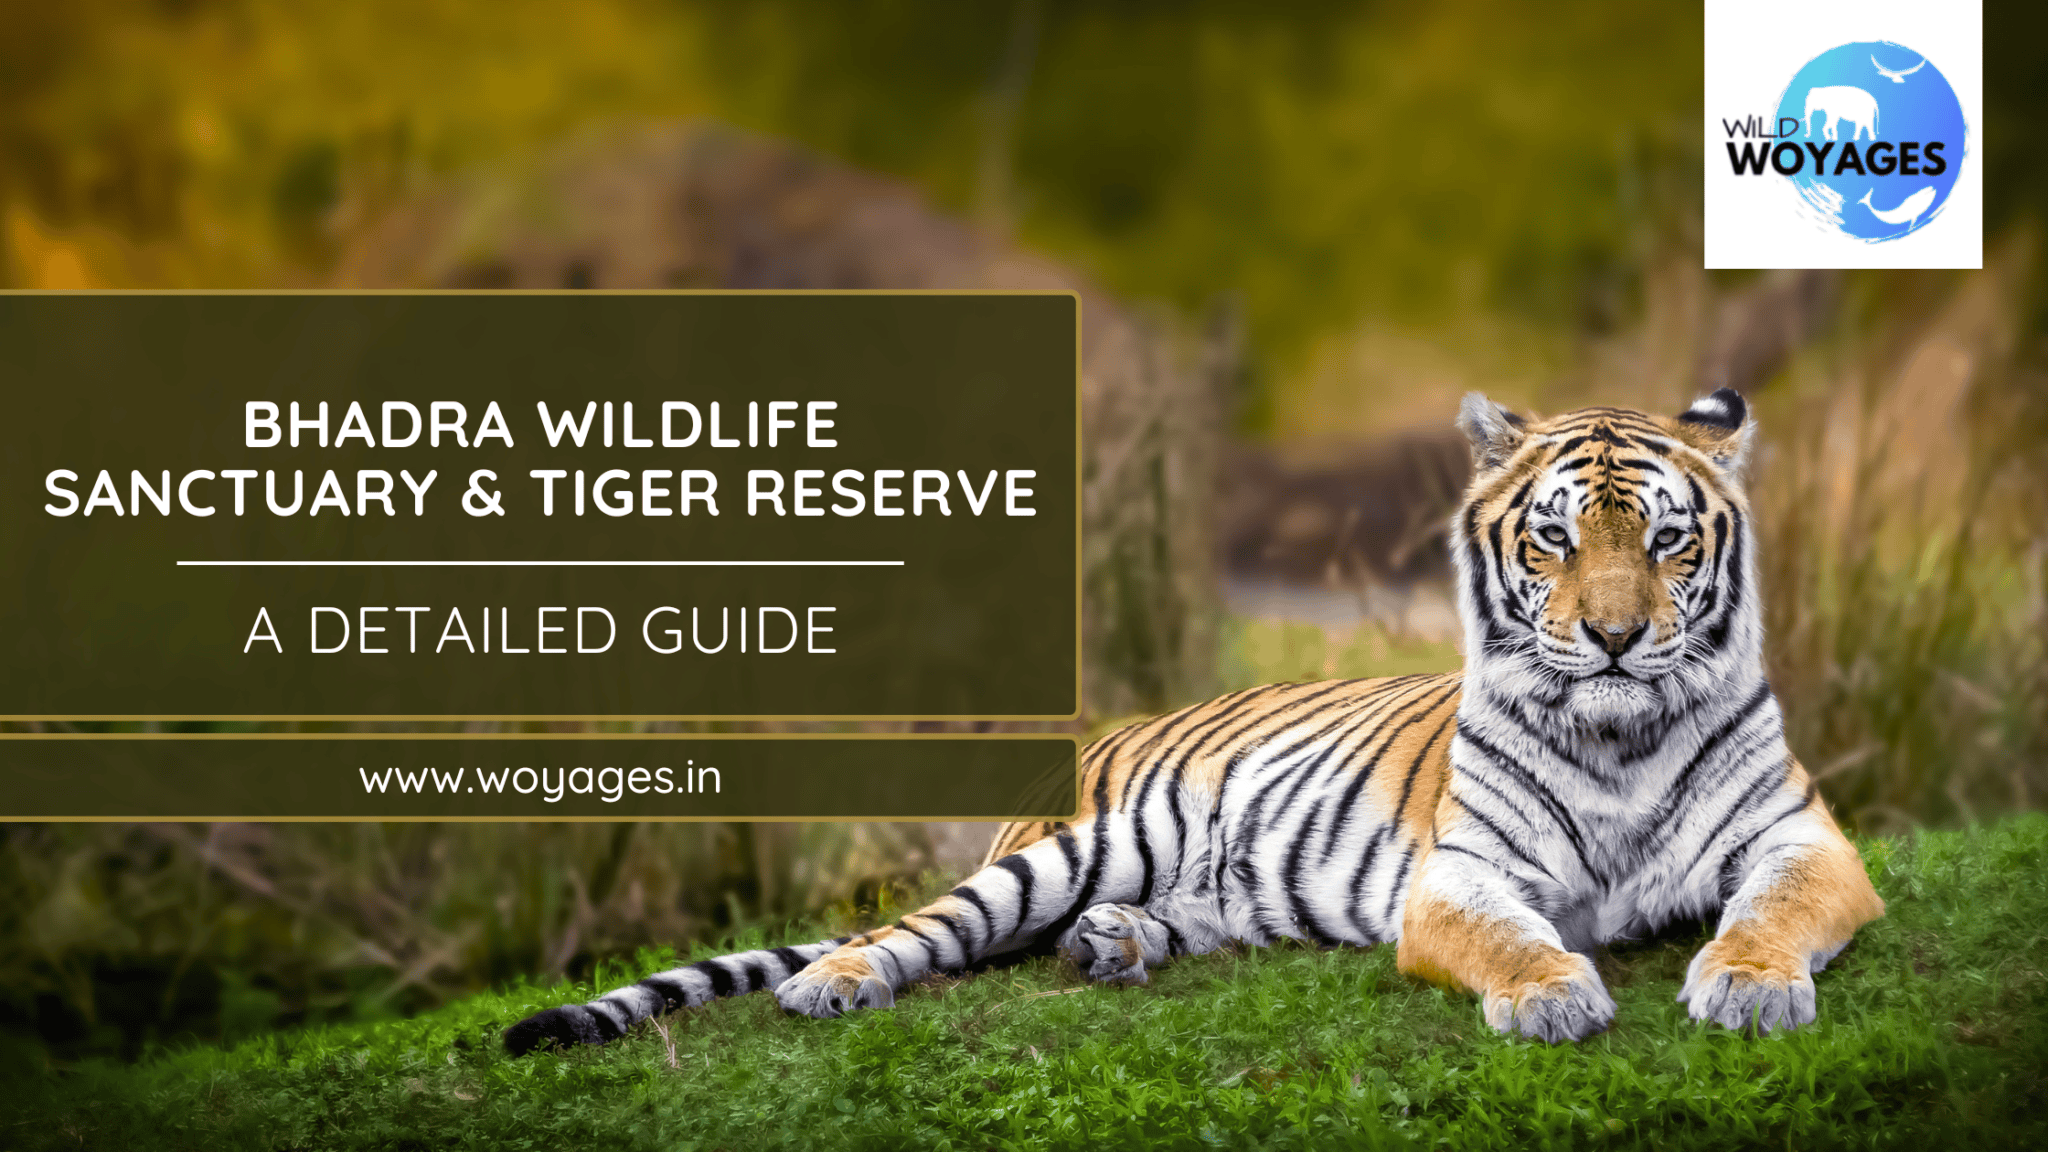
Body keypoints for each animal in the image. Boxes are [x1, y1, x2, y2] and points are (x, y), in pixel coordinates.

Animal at [505, 388, 1884, 1053]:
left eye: (1663, 541)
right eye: (1551, 540)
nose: (1609, 637)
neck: (1617, 736)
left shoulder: (1806, 841)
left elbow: (1770, 911)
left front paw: (1747, 988)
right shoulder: (1462, 876)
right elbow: (1506, 938)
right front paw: (1551, 997)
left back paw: (1113, 946)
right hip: (1073, 847)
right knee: (923, 931)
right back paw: (835, 984)